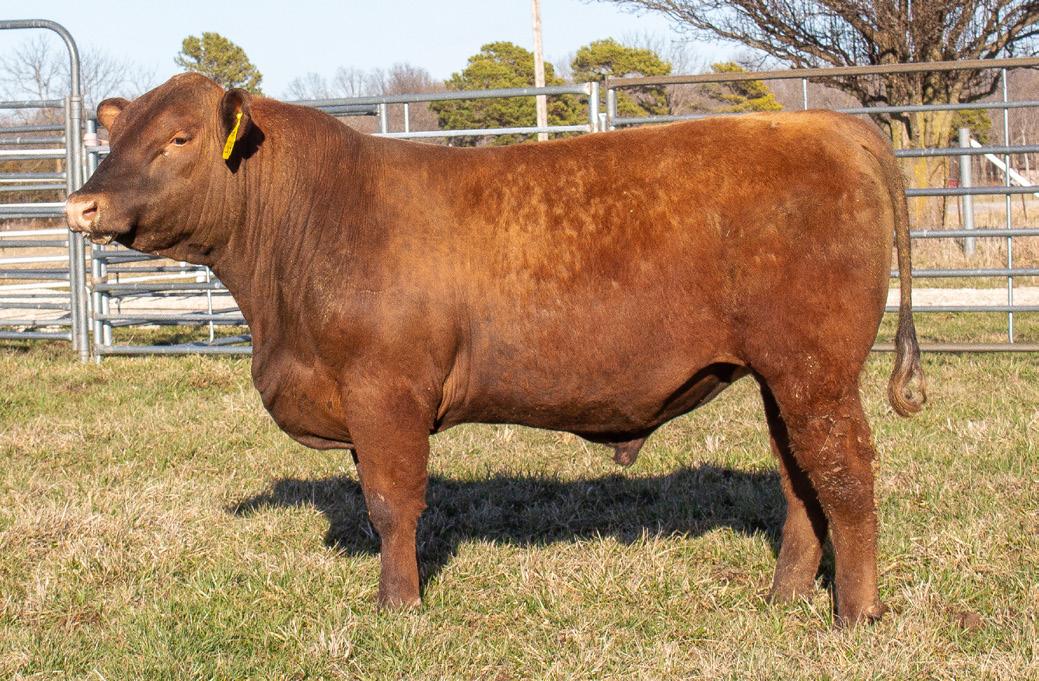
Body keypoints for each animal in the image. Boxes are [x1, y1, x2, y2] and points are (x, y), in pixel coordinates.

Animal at [66, 73, 926, 626]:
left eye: (178, 137)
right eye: (116, 134)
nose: (81, 205)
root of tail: (829, 125)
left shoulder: (386, 390)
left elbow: (392, 501)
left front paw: (398, 607)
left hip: (814, 370)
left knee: (845, 473)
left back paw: (855, 613)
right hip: (779, 376)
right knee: (799, 480)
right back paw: (783, 596)